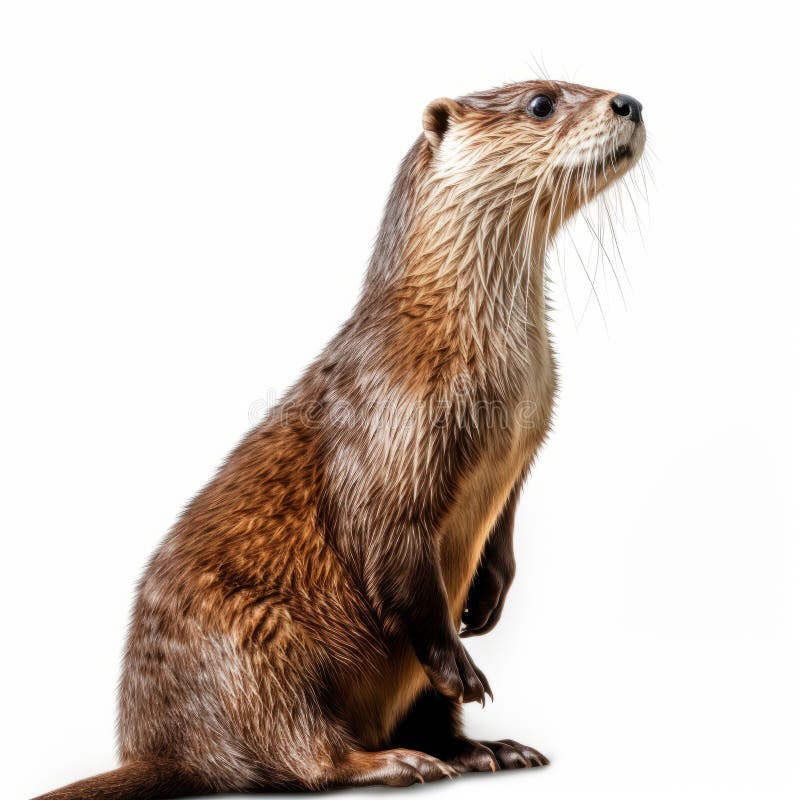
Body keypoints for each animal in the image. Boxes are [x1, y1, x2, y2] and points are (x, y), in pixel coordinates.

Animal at [34, 79, 645, 798]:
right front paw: (460, 664)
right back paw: (396, 762)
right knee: (301, 753)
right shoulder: (390, 429)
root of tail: (163, 748)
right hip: (254, 645)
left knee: (423, 720)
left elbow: (500, 531)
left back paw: (487, 749)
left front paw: (486, 600)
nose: (629, 103)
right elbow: (391, 548)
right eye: (542, 103)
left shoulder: (525, 450)